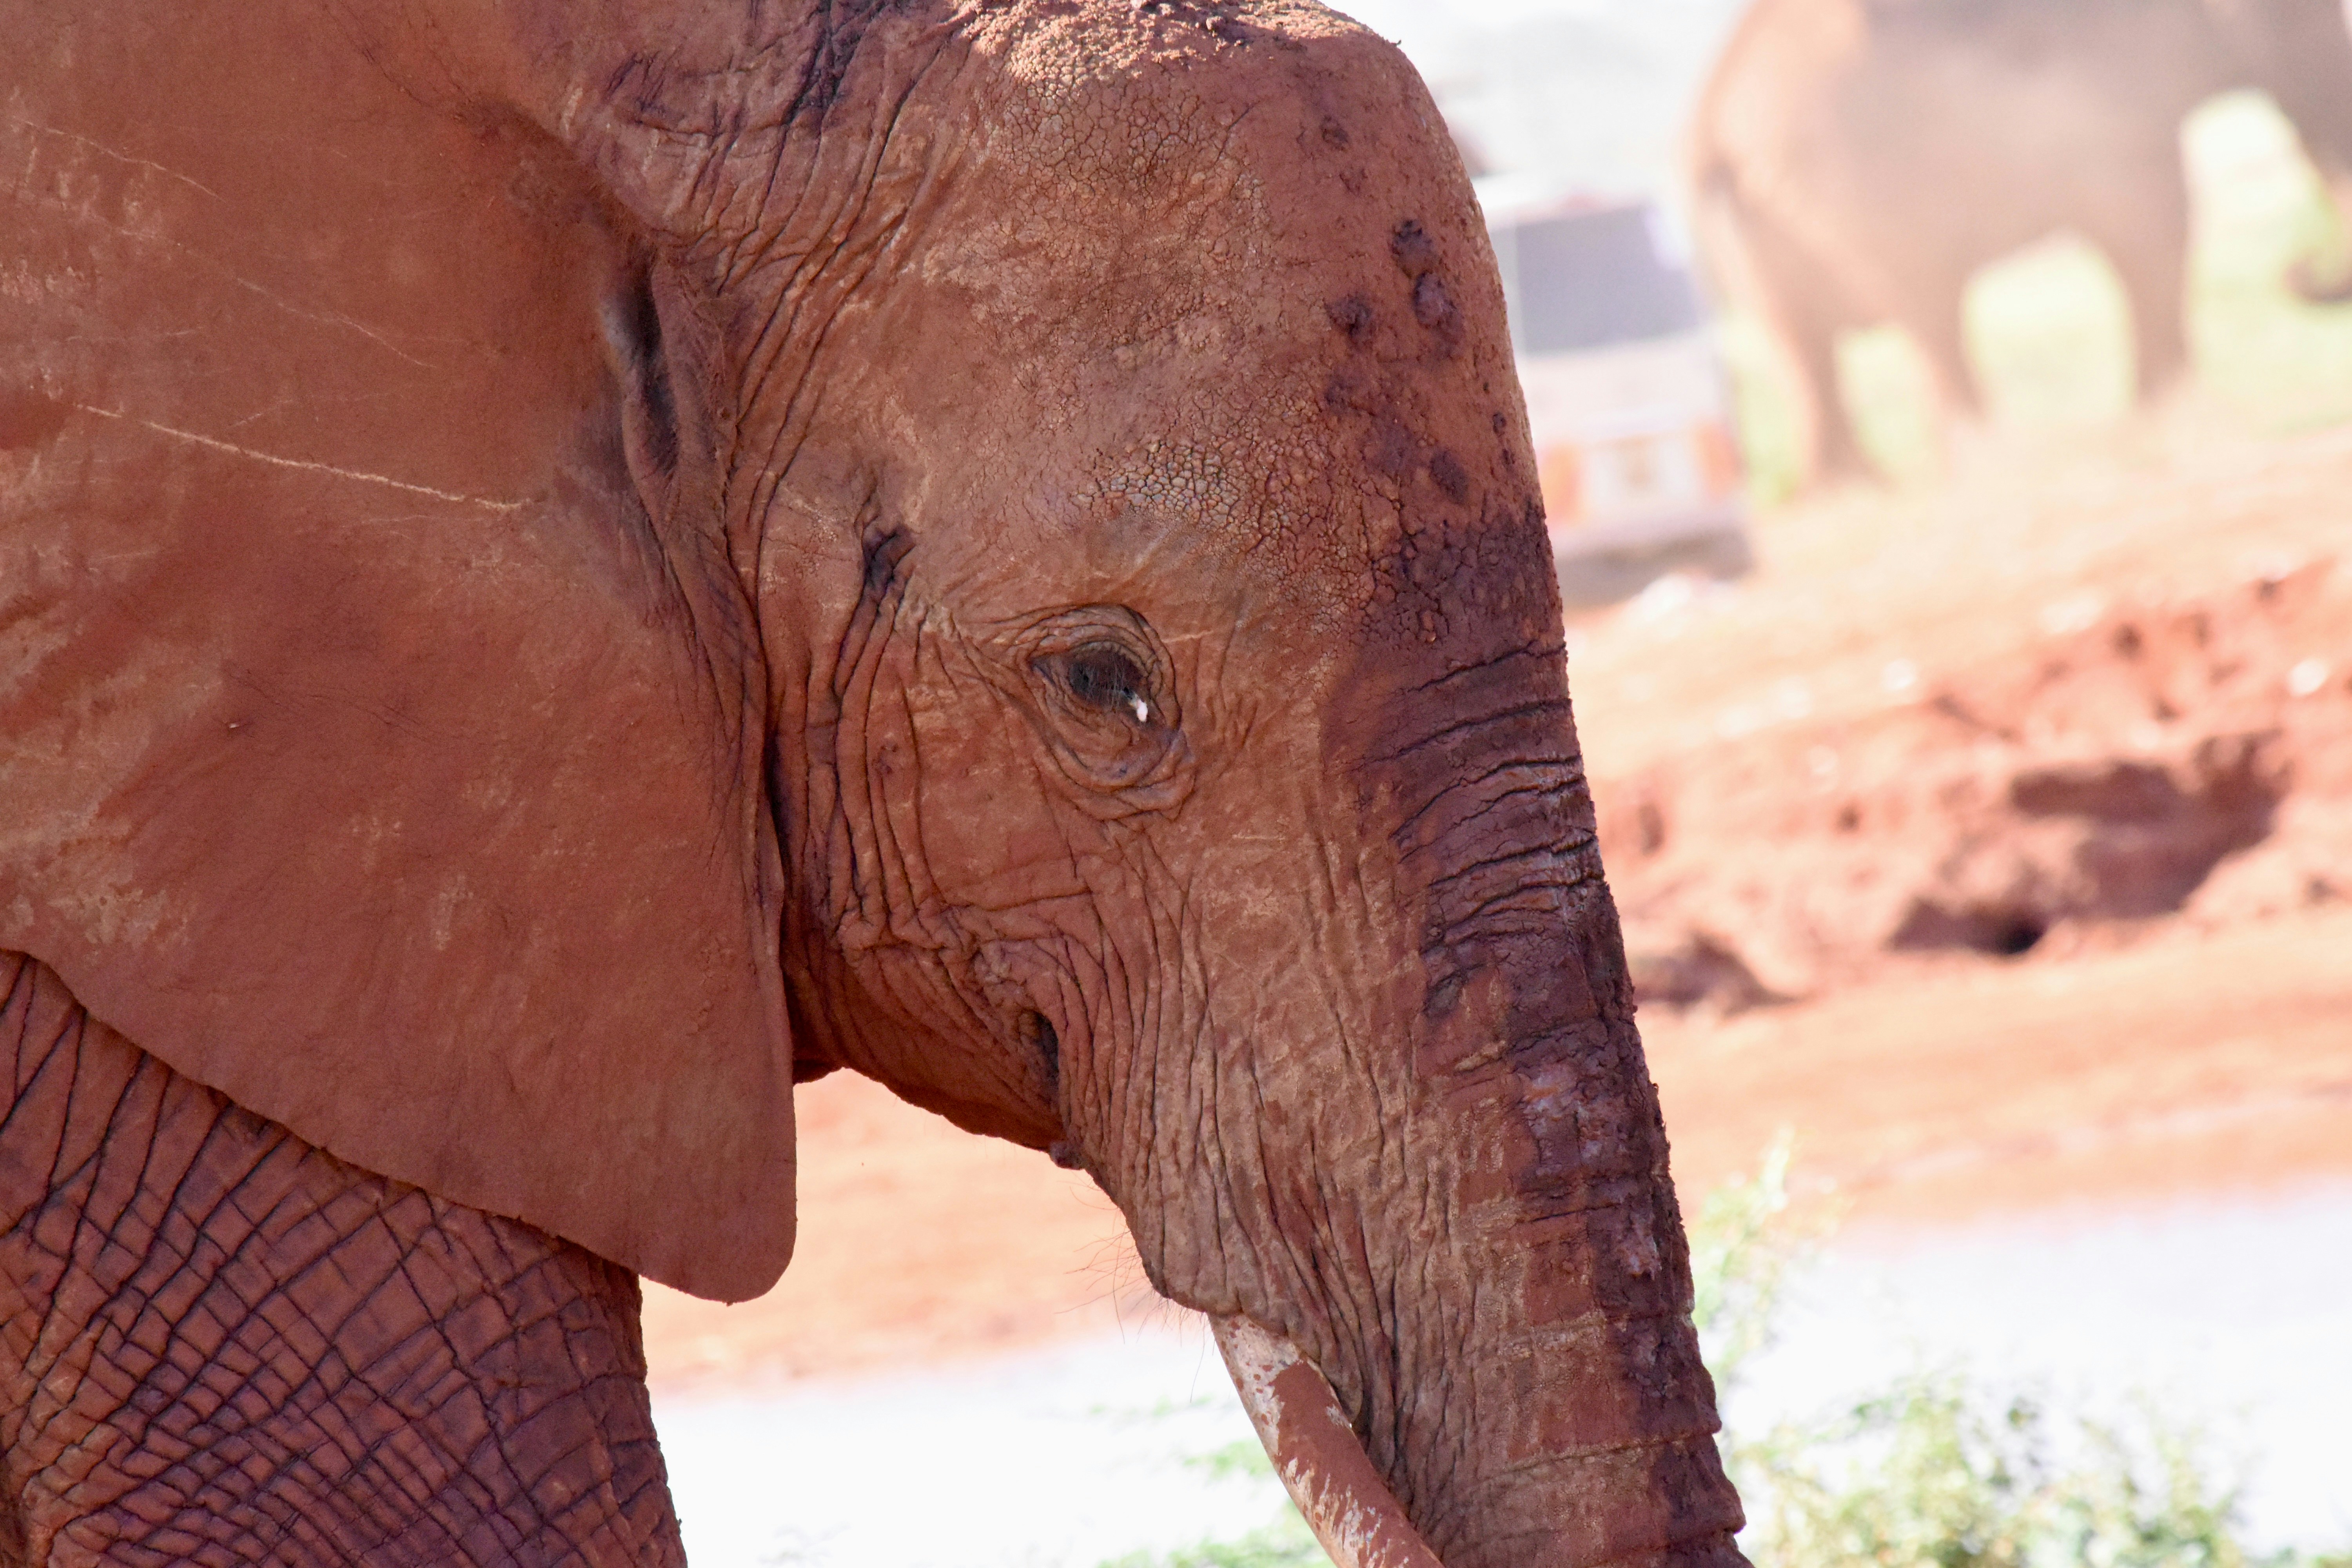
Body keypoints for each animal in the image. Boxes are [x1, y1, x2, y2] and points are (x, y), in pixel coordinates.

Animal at [1687, 0, 2352, 482]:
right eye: (2303, 15)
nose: (2297, 271)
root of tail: (1709, 126)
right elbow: (2156, 220)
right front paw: (2168, 419)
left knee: (1805, 351)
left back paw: (1866, 490)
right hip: (1849, 179)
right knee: (1929, 311)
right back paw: (1992, 465)